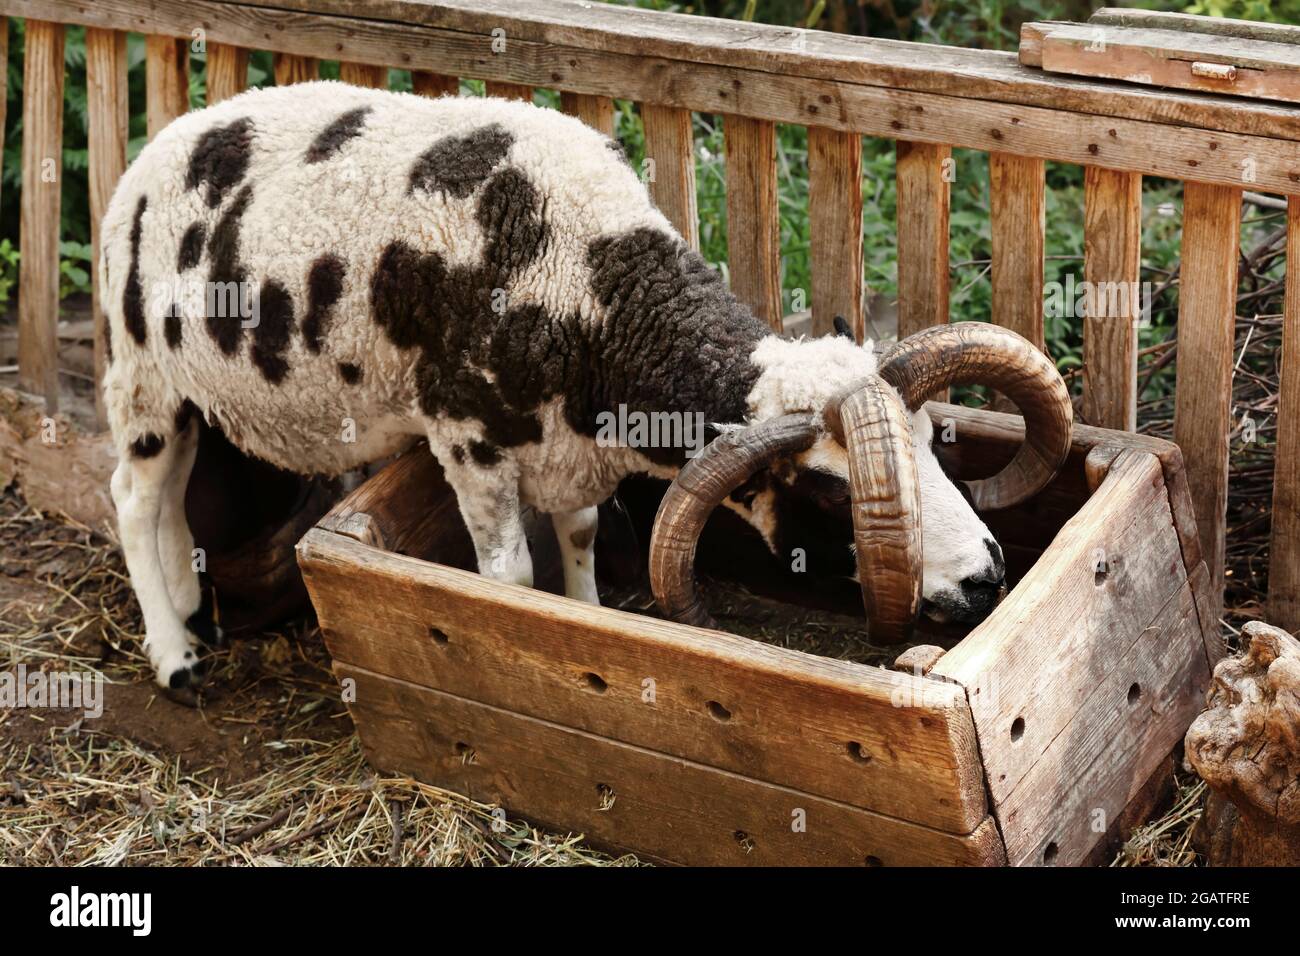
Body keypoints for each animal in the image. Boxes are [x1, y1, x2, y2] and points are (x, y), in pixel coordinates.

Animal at [100, 81, 1070, 690]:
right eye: (833, 492)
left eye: (934, 447)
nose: (986, 577)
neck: (595, 288)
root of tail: (154, 152)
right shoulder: (469, 445)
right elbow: (511, 573)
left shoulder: (570, 450)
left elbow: (578, 540)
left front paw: (589, 623)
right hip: (141, 371)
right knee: (135, 499)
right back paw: (176, 660)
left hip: (185, 390)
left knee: (179, 489)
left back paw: (190, 608)